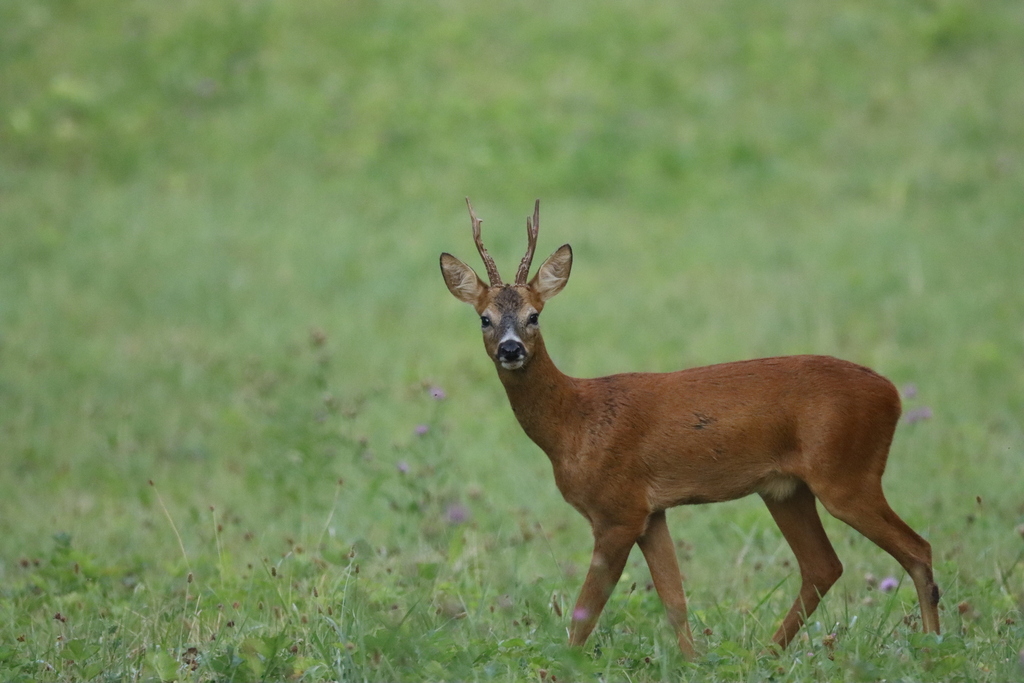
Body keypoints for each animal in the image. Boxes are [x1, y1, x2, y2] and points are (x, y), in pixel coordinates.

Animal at [439, 198, 940, 657]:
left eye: (534, 316)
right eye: (484, 318)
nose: (511, 349)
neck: (575, 424)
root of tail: (893, 394)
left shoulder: (617, 509)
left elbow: (586, 612)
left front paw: (563, 665)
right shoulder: (651, 511)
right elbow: (674, 599)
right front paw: (693, 661)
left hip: (847, 474)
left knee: (917, 549)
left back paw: (933, 645)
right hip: (785, 488)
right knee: (823, 566)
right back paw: (767, 654)